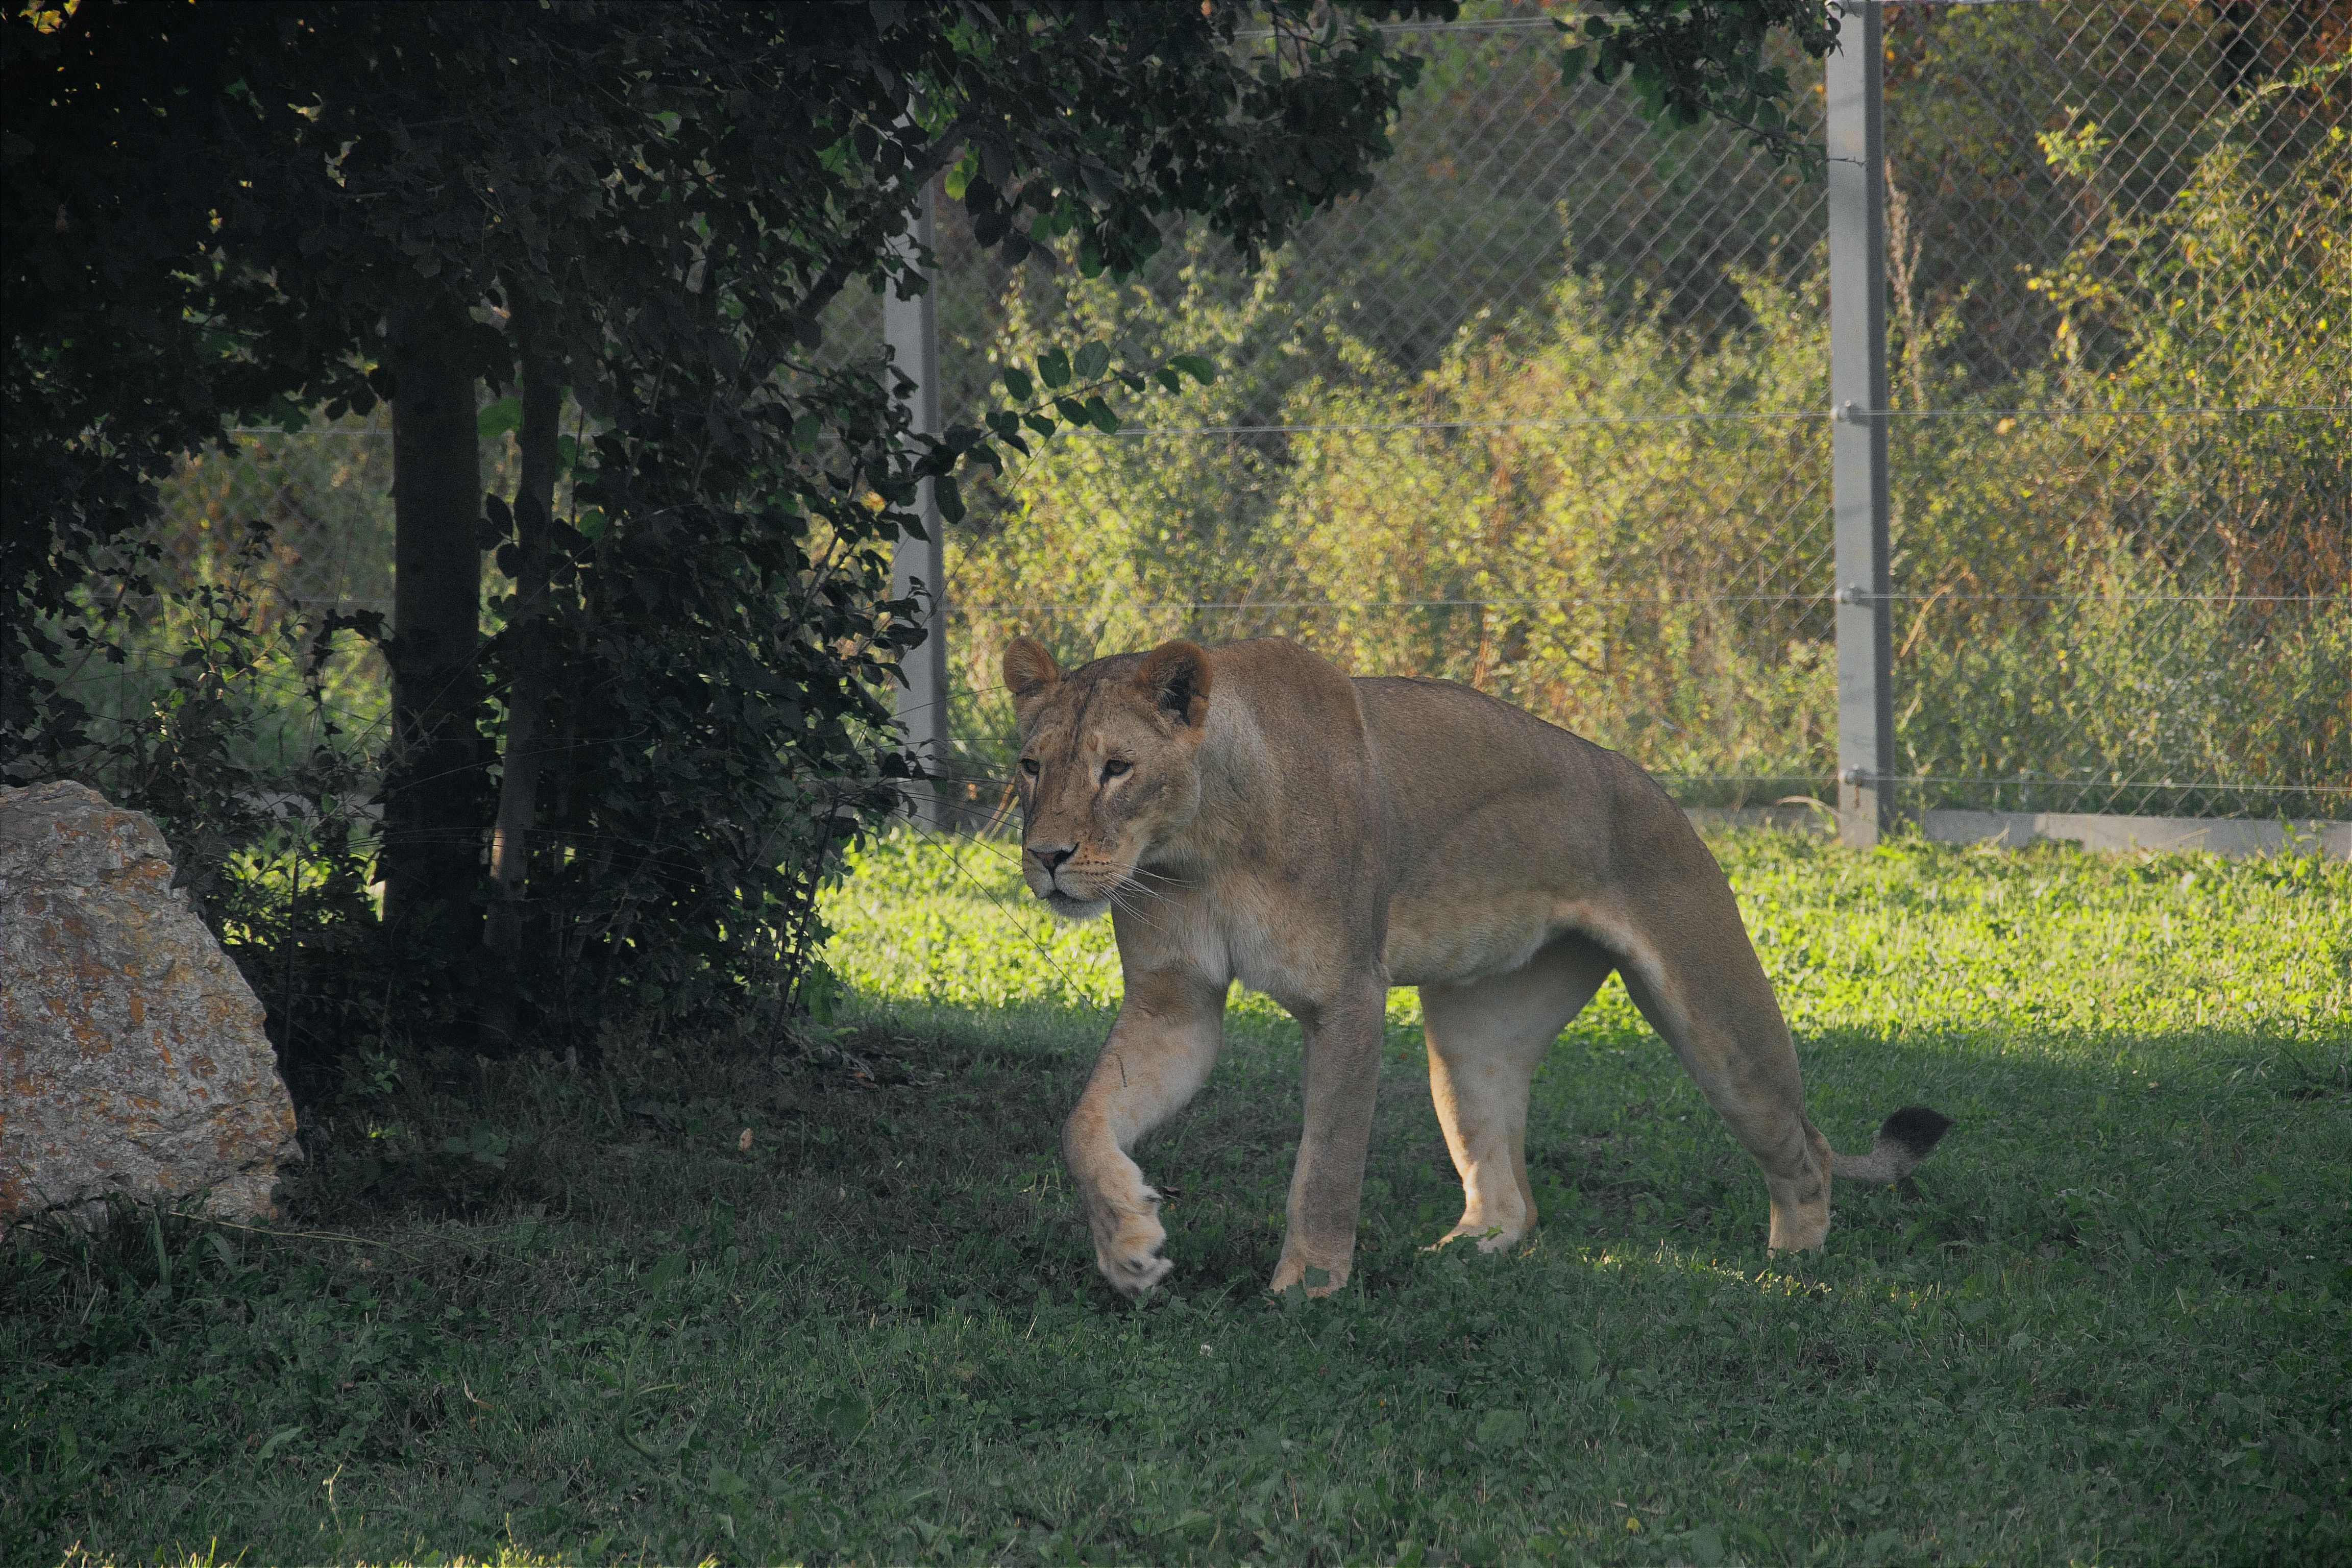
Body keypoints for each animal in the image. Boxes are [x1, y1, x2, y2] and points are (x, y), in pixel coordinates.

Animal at [1001, 634, 1951, 1299]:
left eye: (1117, 768)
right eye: (1030, 766)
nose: (1047, 857)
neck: (1198, 848)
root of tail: (1651, 785)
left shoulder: (1347, 997)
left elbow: (1326, 1164)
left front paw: (1308, 1289)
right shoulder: (1176, 1003)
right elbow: (1083, 1124)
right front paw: (1129, 1249)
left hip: (1719, 1020)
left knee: (1805, 1149)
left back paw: (1793, 1267)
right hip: (1474, 1041)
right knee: (1513, 1199)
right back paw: (1459, 1256)